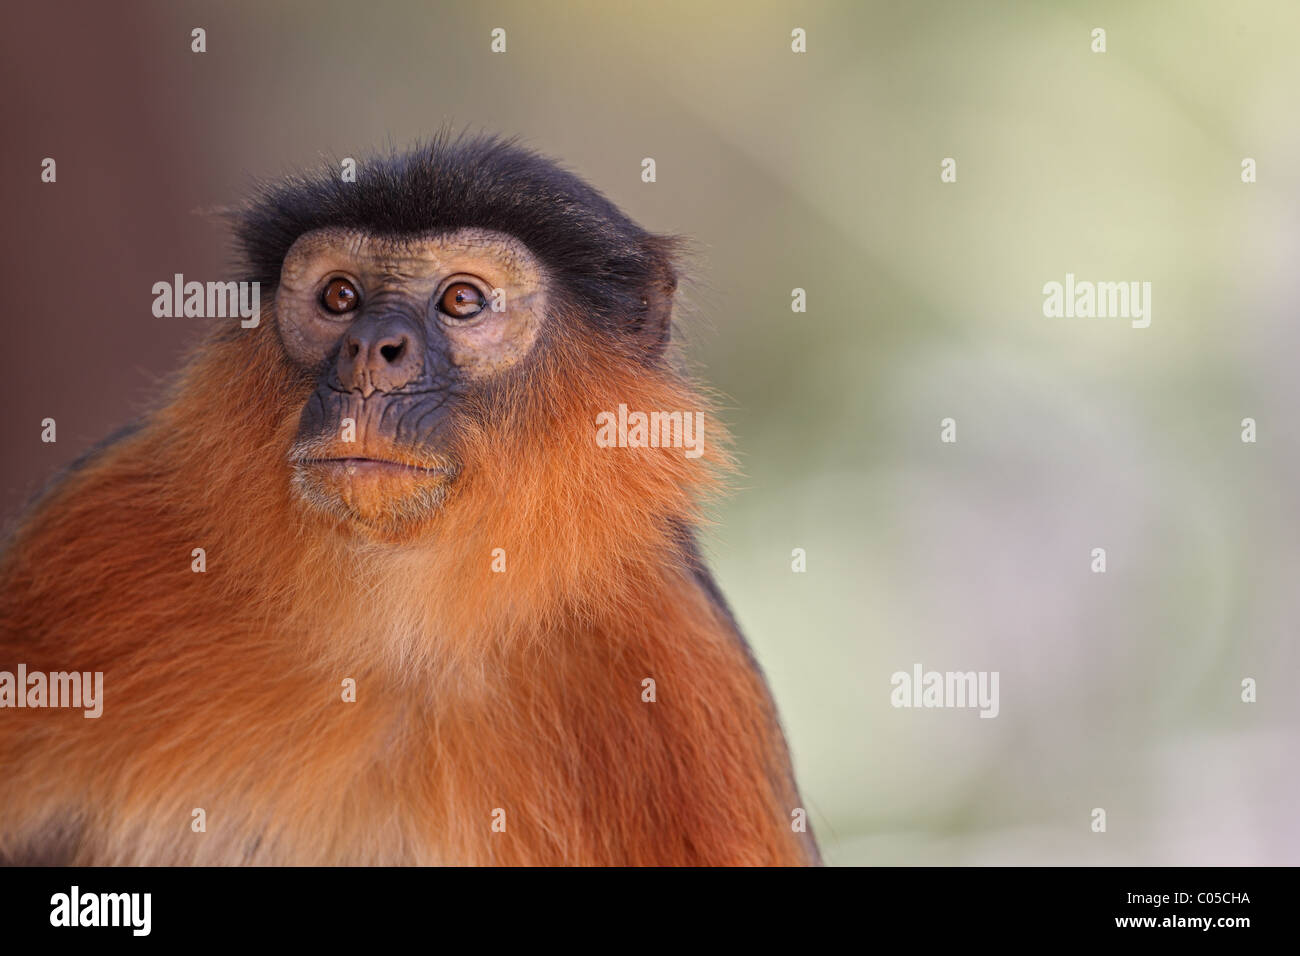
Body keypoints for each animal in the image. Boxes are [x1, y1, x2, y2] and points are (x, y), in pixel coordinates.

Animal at [0, 134, 819, 866]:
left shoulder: (687, 654)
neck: (401, 629)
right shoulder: (100, 515)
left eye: (461, 299)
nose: (370, 352)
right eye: (340, 297)